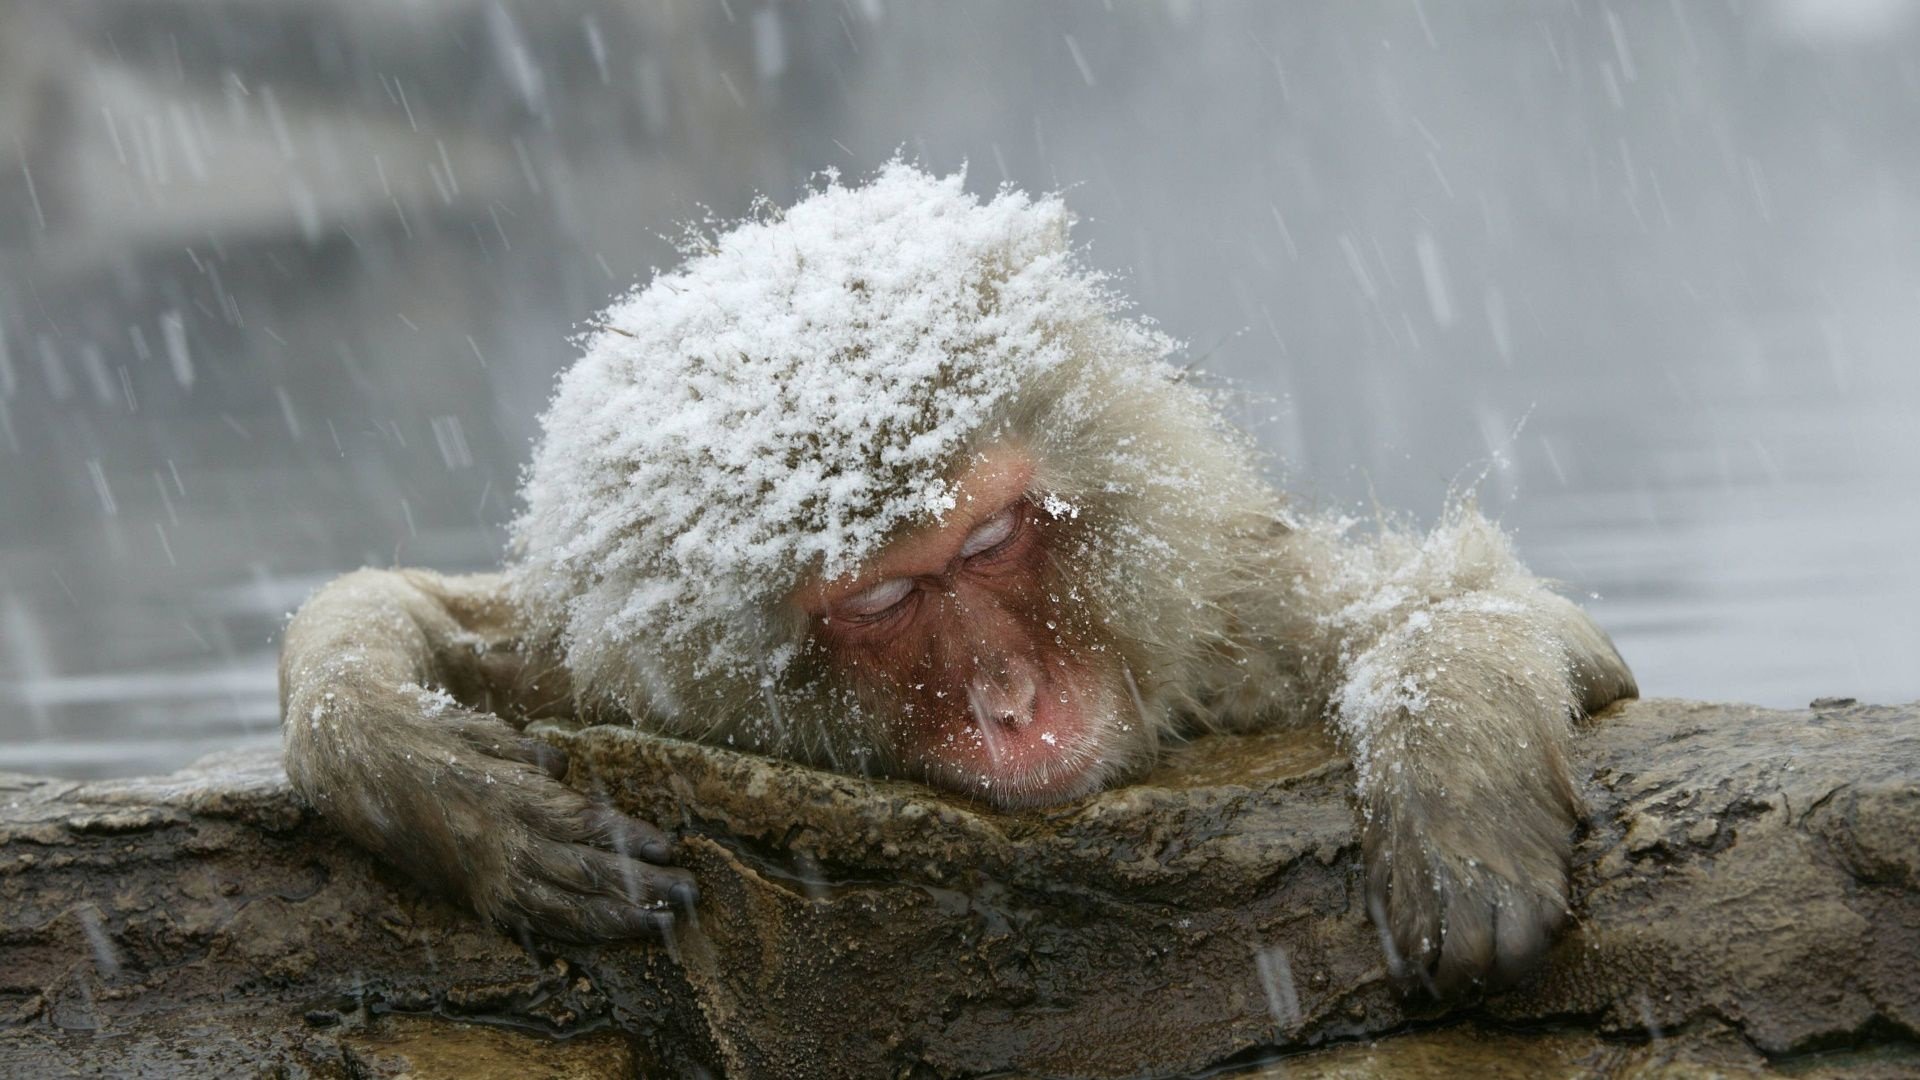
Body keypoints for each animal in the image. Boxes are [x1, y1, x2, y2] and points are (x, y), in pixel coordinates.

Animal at [280, 163, 1636, 996]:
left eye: (987, 544)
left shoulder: (1231, 612)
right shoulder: (601, 668)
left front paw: (1457, 792)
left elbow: (1498, 620)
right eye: (883, 601)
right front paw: (423, 776)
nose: (1010, 697)